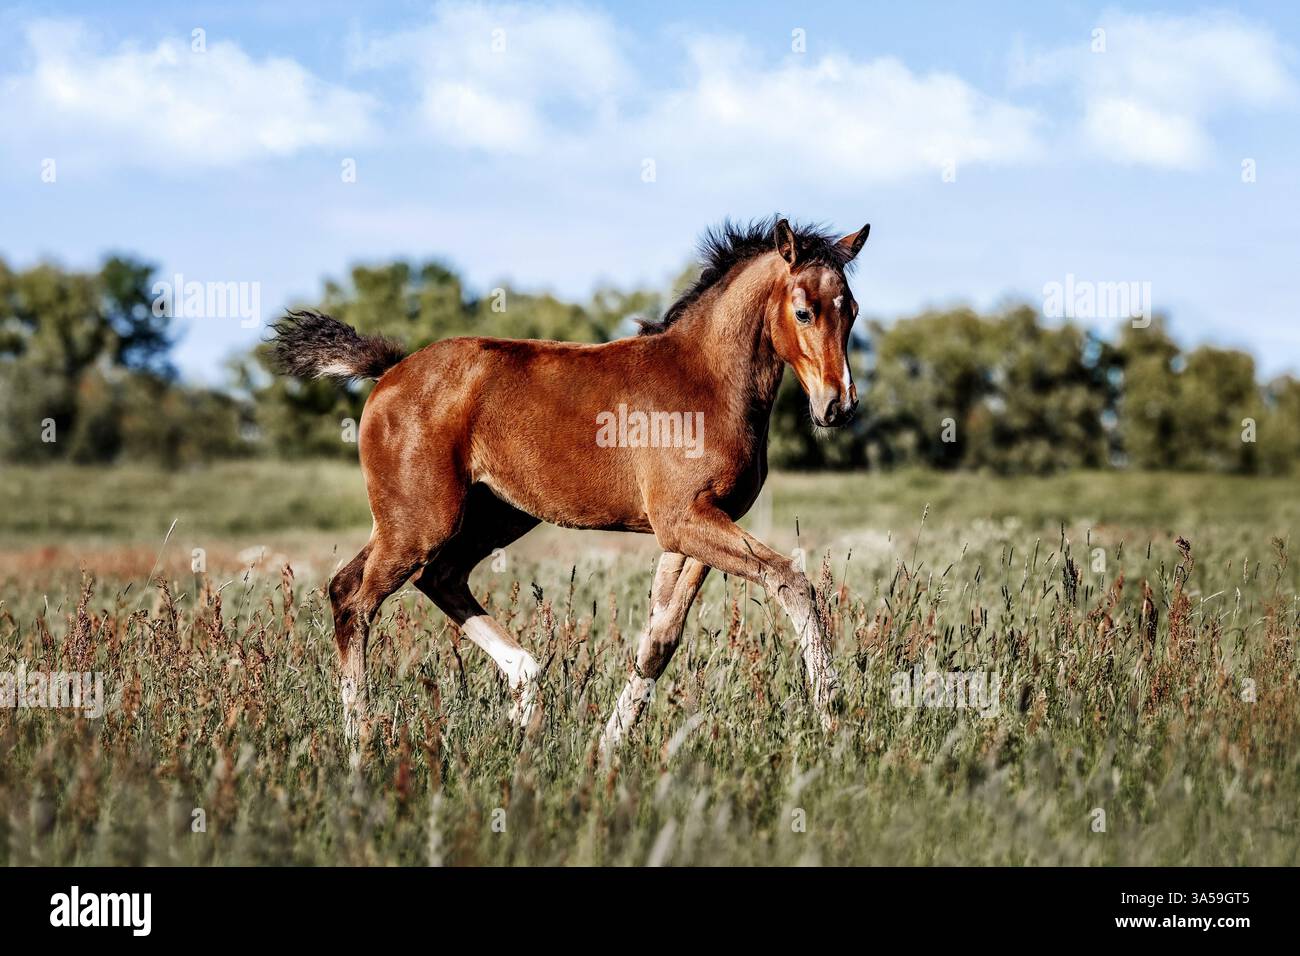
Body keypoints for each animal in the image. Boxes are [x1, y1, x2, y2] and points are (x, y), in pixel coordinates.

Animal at [271, 216, 869, 754]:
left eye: (853, 310)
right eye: (803, 311)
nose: (838, 407)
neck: (706, 380)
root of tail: (391, 370)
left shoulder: (695, 529)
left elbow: (660, 640)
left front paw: (608, 746)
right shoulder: (684, 521)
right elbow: (793, 582)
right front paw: (833, 720)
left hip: (482, 516)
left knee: (422, 579)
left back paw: (525, 695)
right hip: (422, 521)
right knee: (356, 598)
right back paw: (362, 742)